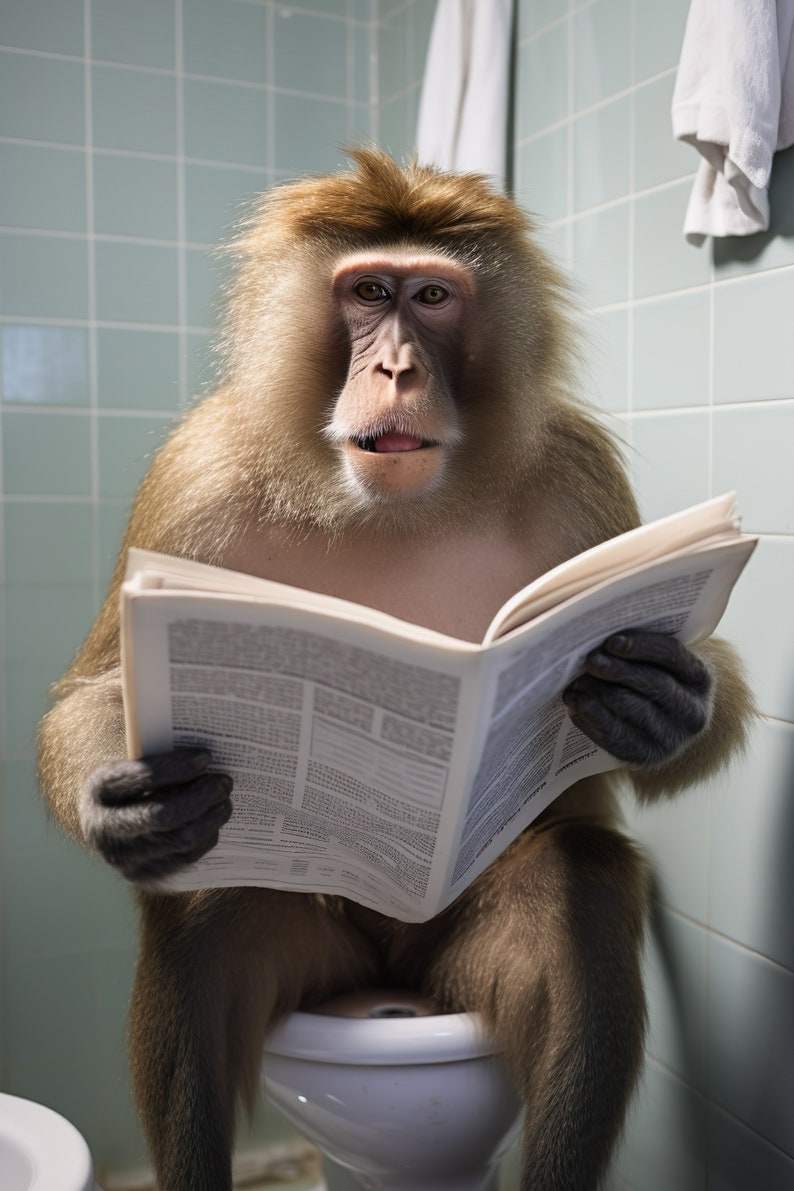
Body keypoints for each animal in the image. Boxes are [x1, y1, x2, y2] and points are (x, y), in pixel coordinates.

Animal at [37, 150, 753, 1191]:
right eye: (371, 292)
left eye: (433, 296)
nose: (397, 367)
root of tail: (390, 977)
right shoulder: (197, 471)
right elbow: (98, 690)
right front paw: (123, 804)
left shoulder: (578, 472)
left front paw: (662, 700)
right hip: (327, 957)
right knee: (207, 896)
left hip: (446, 967)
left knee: (576, 883)